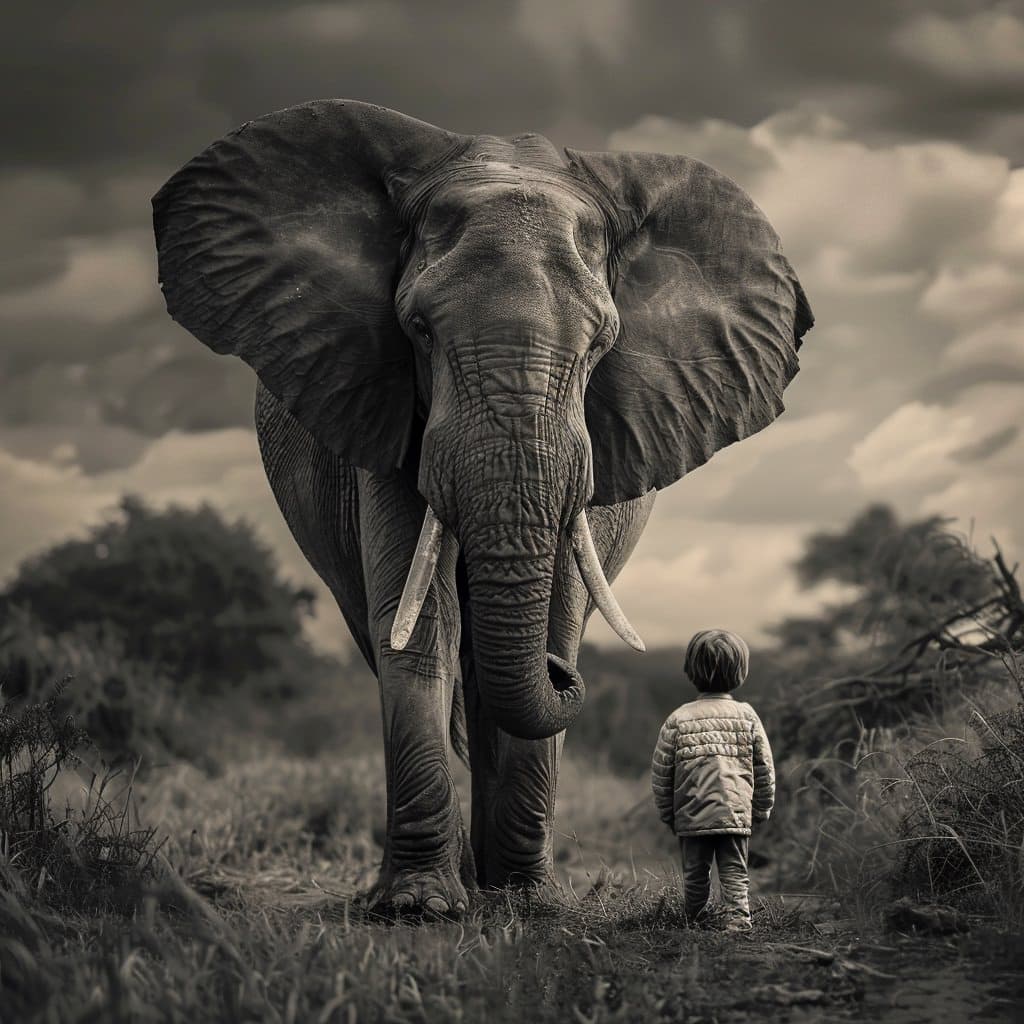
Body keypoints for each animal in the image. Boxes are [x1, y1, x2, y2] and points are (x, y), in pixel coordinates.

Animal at [152, 99, 812, 914]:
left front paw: (528, 903)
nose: (564, 675)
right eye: (419, 331)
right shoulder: (386, 413)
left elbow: (554, 611)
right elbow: (418, 625)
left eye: (601, 346)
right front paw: (418, 906)